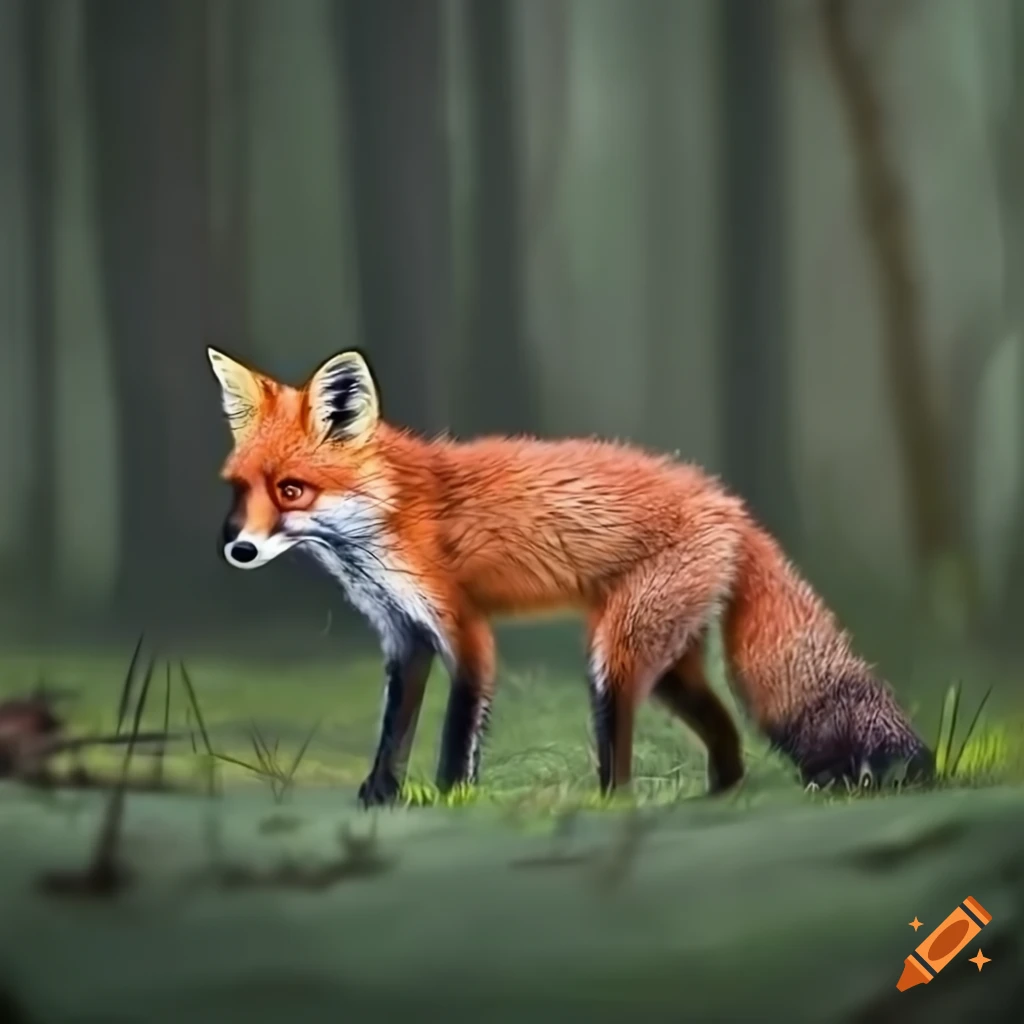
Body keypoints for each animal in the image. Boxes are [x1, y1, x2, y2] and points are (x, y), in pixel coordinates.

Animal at [207, 346, 933, 807]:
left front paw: (451, 798)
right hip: (666, 663)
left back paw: (611, 806)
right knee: (728, 732)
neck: (381, 525)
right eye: (241, 489)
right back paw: (715, 801)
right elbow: (393, 732)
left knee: (629, 745)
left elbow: (456, 731)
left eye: (292, 490)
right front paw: (379, 799)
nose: (237, 550)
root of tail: (729, 502)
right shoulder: (404, 637)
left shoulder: (464, 627)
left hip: (615, 657)